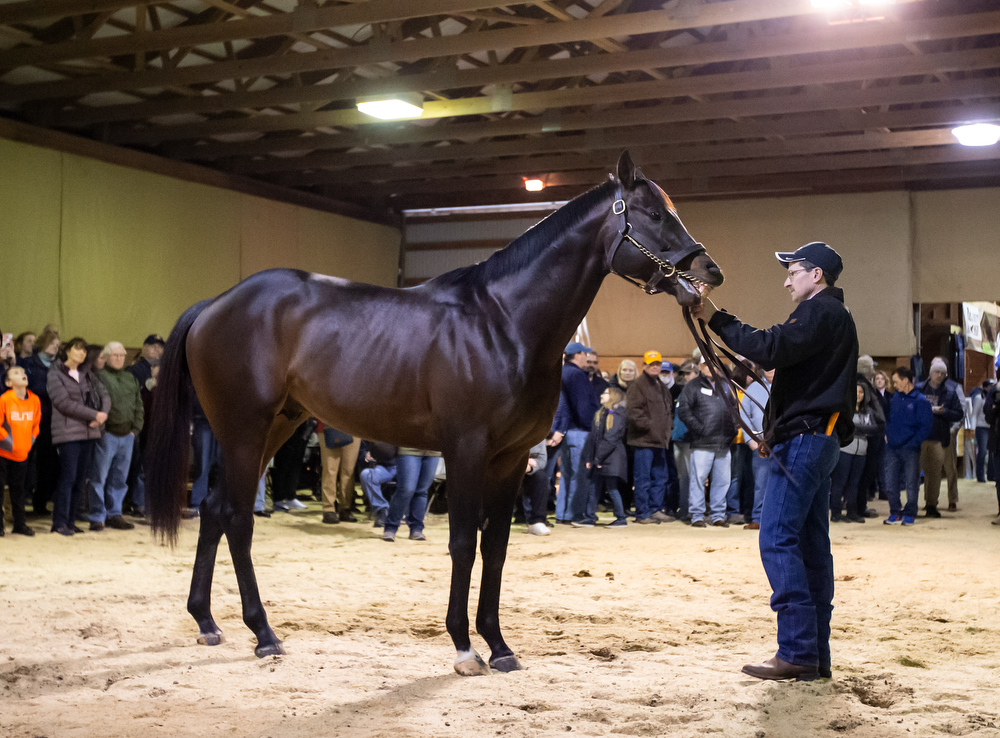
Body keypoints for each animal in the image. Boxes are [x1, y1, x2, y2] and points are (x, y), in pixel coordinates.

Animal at [145, 151, 723, 675]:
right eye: (654, 214)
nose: (710, 271)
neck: (505, 325)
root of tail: (215, 304)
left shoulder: (511, 458)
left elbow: (496, 546)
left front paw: (499, 645)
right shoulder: (466, 450)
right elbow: (464, 542)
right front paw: (465, 648)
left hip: (275, 426)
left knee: (214, 509)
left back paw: (207, 622)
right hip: (244, 430)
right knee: (237, 517)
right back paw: (264, 634)